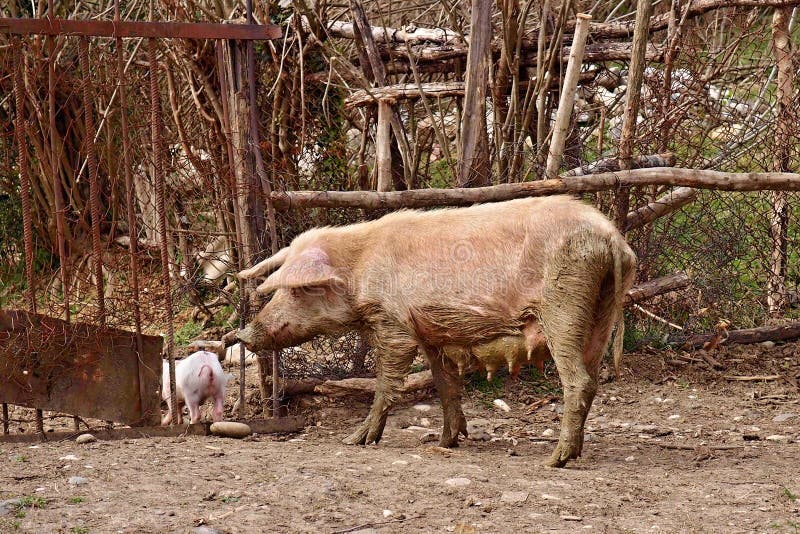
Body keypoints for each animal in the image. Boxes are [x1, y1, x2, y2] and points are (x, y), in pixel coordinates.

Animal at [236, 196, 636, 467]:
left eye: (298, 289)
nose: (241, 335)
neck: (359, 267)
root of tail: (613, 239)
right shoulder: (431, 333)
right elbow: (446, 386)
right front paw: (445, 443)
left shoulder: (394, 324)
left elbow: (386, 383)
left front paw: (354, 441)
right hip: (601, 311)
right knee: (593, 379)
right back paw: (575, 452)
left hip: (563, 304)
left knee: (577, 381)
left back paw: (554, 460)